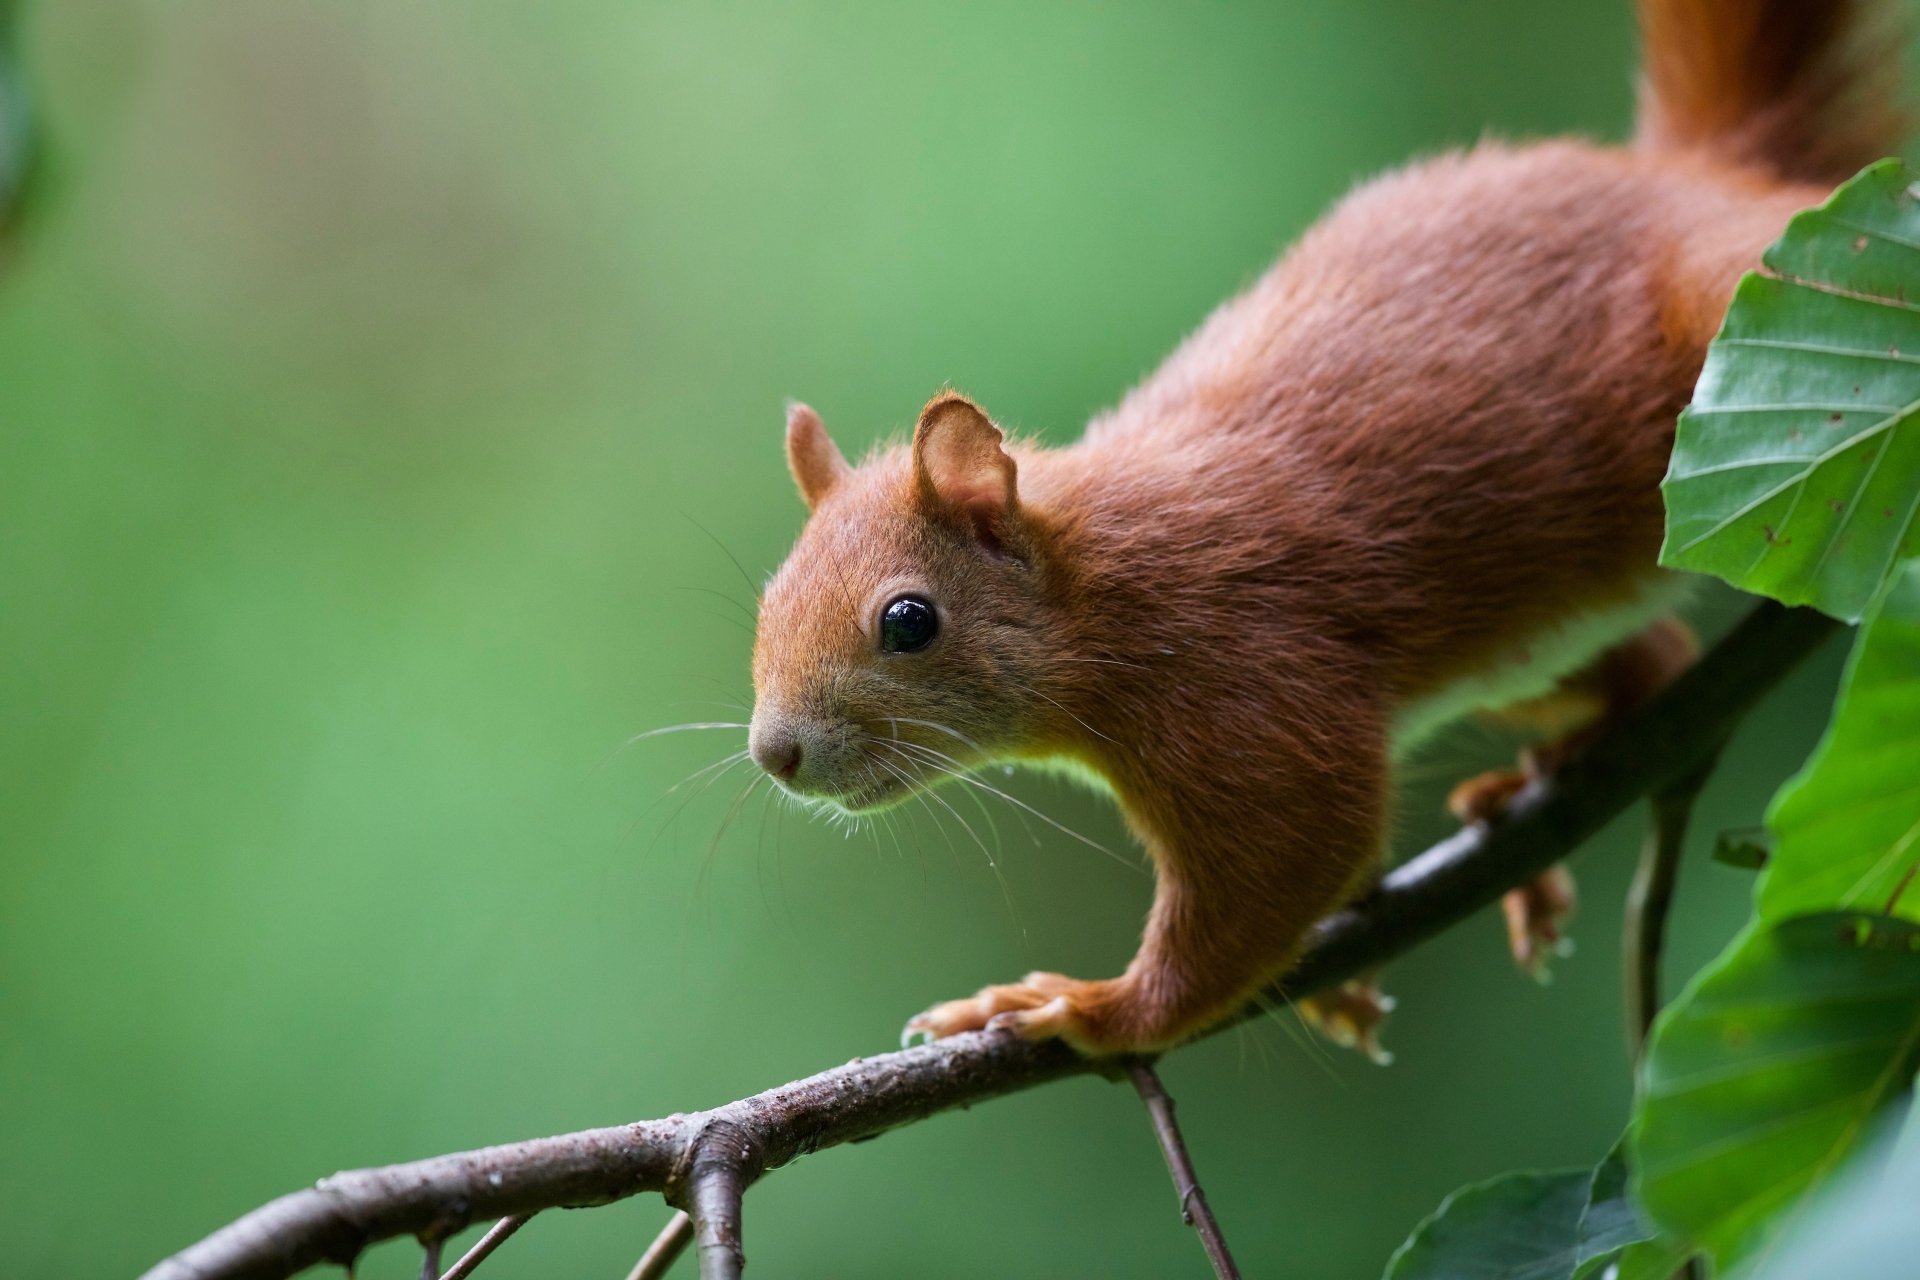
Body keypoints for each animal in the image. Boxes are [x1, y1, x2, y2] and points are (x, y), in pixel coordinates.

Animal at [745, 0, 1909, 1057]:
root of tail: (1704, 176)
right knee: (1655, 654)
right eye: (764, 604)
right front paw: (1332, 986)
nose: (775, 753)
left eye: (909, 620)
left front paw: (1088, 1007)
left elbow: (1290, 853)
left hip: (1731, 300)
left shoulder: (1245, 679)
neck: (1103, 576)